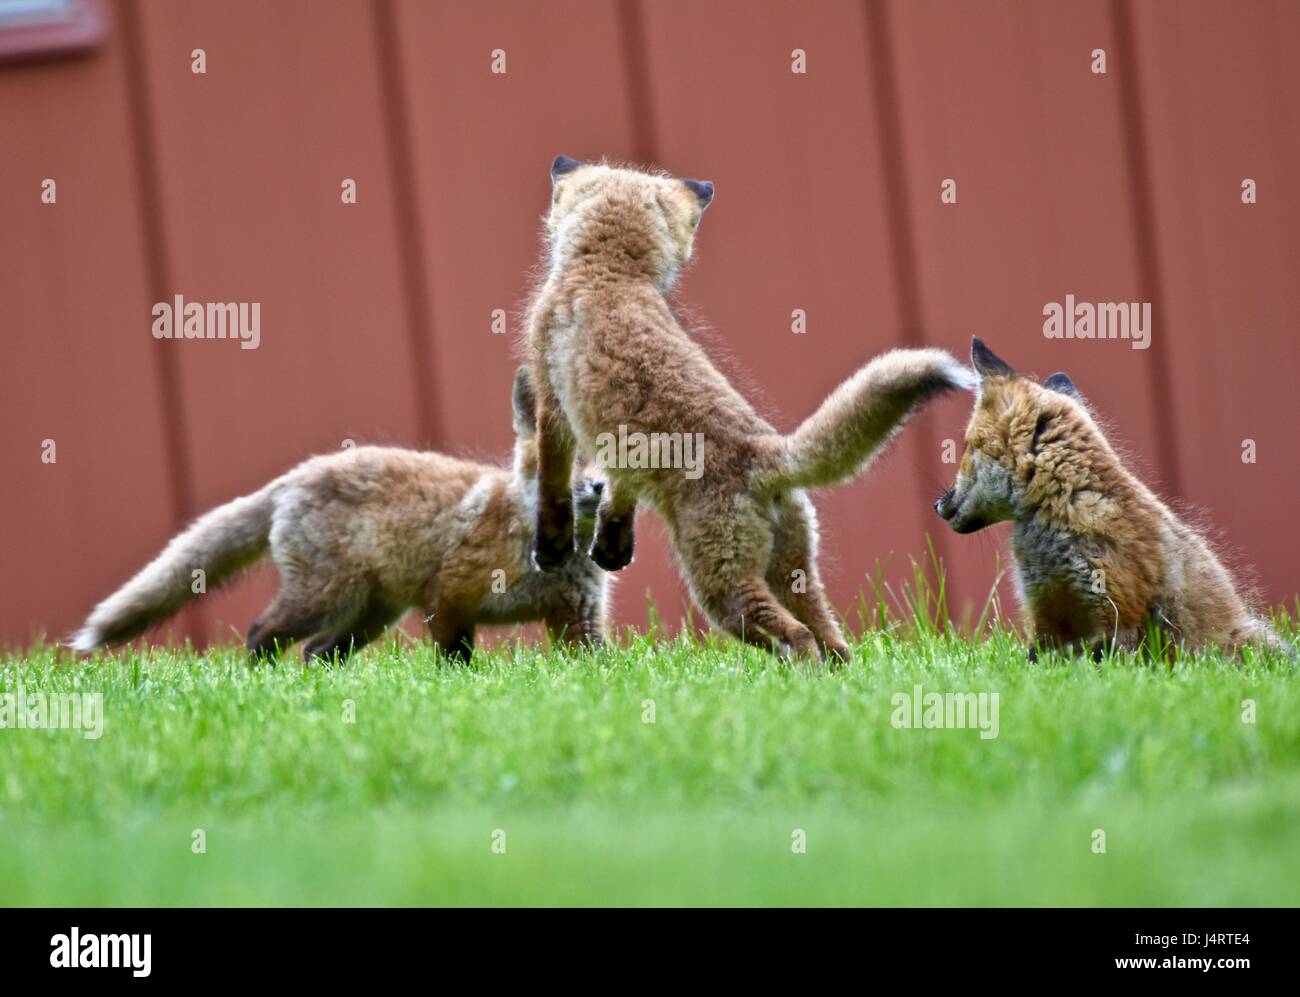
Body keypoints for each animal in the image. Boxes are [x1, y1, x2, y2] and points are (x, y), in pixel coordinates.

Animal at [71, 367, 608, 662]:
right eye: (562, 462)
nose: (597, 488)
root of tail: (295, 476)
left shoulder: (580, 619)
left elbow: (596, 668)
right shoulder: (449, 598)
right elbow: (456, 664)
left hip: (368, 615)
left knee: (316, 652)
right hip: (324, 599)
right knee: (260, 635)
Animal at [525, 156, 973, 661]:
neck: (611, 271)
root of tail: (765, 453)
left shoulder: (552, 403)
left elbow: (552, 486)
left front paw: (551, 549)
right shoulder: (618, 453)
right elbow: (619, 498)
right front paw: (611, 548)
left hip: (721, 590)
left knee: (795, 635)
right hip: (793, 574)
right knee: (832, 641)